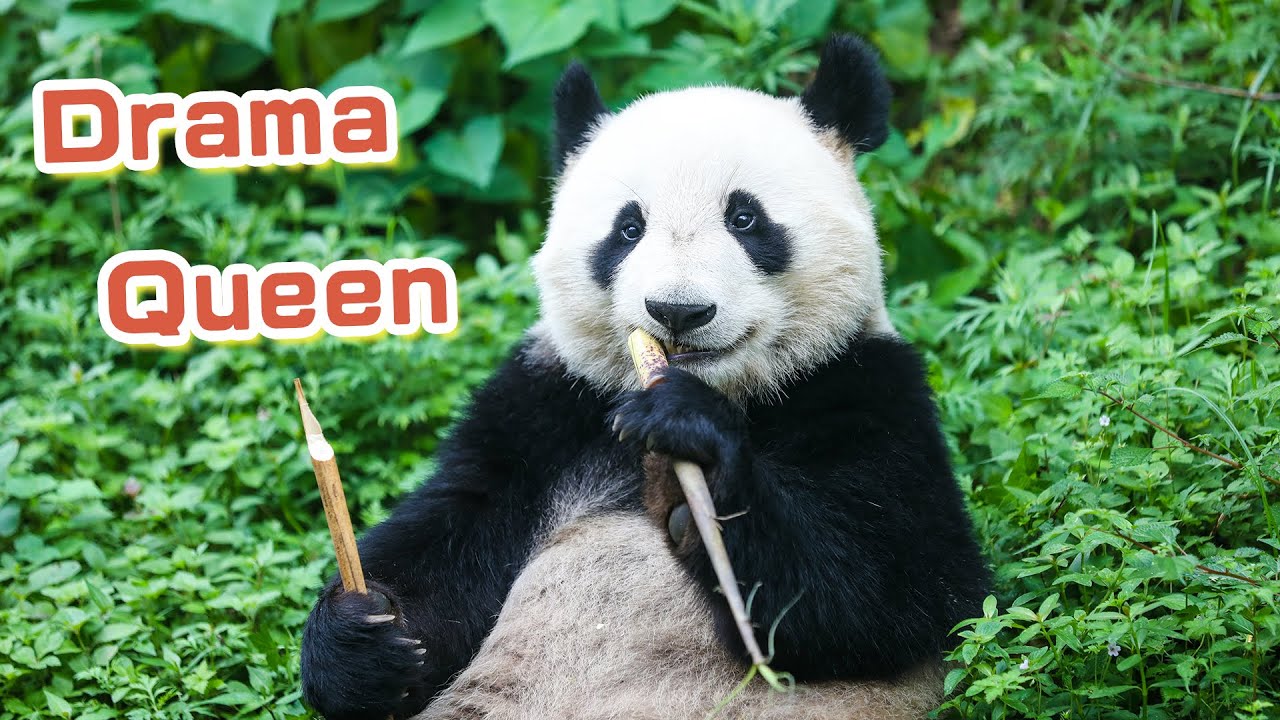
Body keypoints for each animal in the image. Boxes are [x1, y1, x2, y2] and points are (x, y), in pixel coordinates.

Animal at [300, 34, 990, 720]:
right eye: (628, 228)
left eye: (745, 219)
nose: (678, 310)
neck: (740, 394)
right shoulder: (545, 410)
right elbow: (452, 545)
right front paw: (359, 643)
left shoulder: (865, 388)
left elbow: (892, 592)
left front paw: (693, 448)